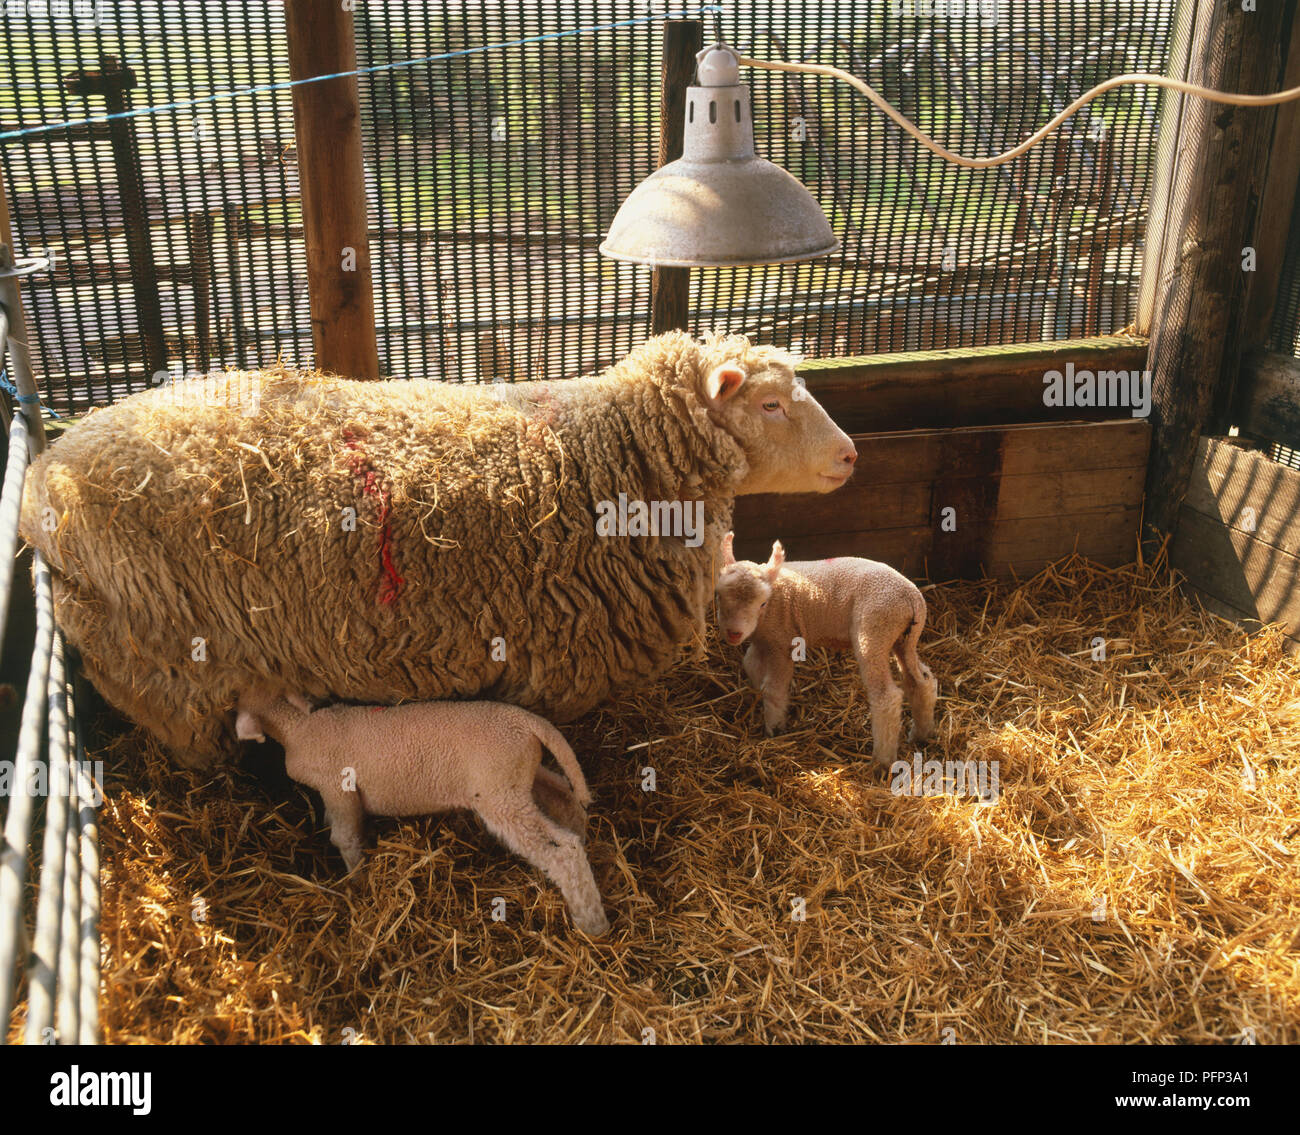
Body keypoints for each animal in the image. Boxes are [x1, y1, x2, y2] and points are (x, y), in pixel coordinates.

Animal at [20, 331, 857, 767]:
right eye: (772, 404)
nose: (850, 456)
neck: (610, 454)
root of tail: (42, 482)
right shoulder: (558, 662)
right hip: (161, 660)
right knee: (187, 736)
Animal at [235, 689, 610, 937]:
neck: (297, 727)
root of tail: (527, 722)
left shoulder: (337, 788)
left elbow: (346, 837)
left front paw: (356, 883)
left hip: (500, 794)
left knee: (562, 851)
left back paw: (592, 921)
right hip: (517, 779)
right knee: (564, 797)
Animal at [715, 533, 938, 764]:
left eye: (762, 603)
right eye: (718, 596)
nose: (733, 633)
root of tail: (911, 597)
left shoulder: (781, 643)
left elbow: (774, 689)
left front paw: (774, 729)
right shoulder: (763, 640)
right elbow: (750, 664)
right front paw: (757, 689)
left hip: (874, 630)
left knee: (887, 697)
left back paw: (882, 761)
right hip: (904, 638)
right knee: (921, 681)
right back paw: (922, 734)